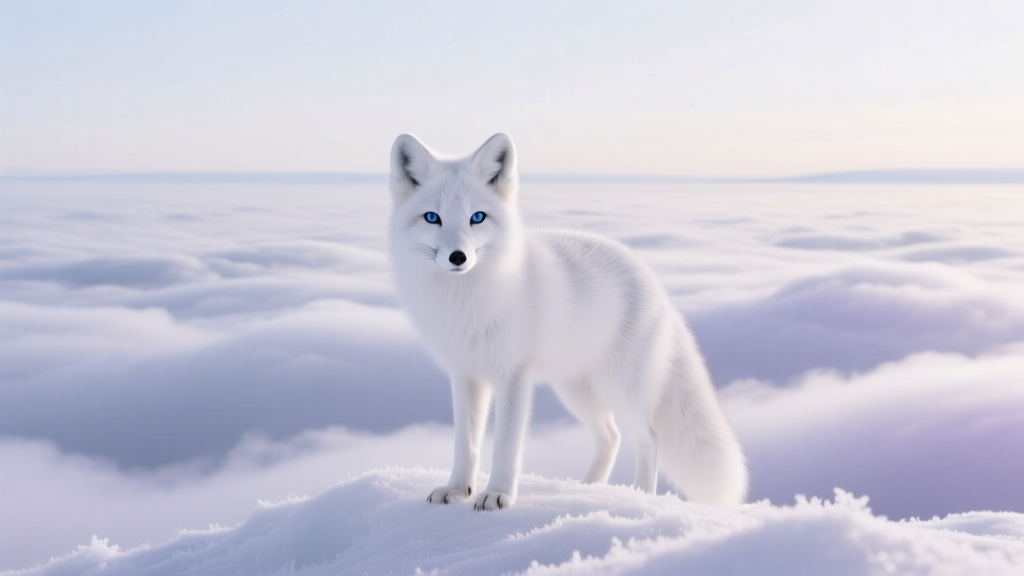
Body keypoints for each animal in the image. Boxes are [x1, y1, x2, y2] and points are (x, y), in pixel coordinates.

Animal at [388, 133, 748, 511]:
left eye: (478, 217)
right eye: (432, 218)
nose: (458, 257)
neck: (468, 300)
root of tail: (659, 289)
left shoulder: (514, 373)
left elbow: (506, 444)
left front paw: (498, 494)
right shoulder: (465, 373)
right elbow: (465, 443)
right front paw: (457, 489)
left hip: (618, 388)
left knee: (649, 438)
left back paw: (640, 498)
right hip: (576, 390)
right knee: (611, 437)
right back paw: (586, 490)